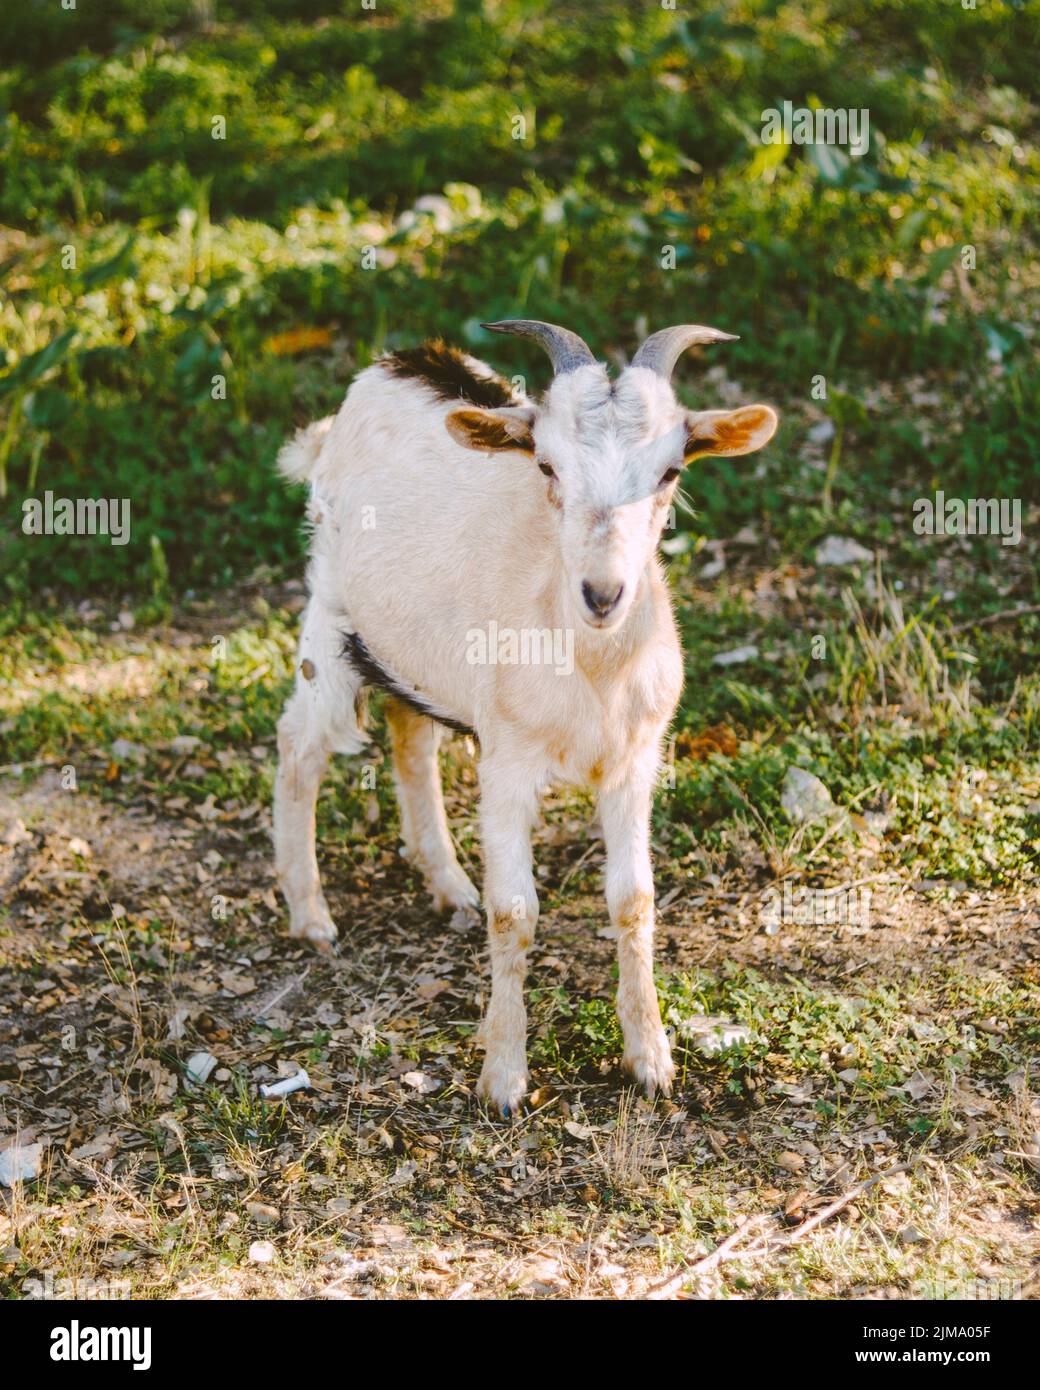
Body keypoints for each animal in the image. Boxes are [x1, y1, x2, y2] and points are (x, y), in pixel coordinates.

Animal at [274, 320, 778, 1115]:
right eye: (547, 466)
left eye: (671, 472)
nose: (603, 593)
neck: (592, 669)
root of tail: (395, 362)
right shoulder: (508, 761)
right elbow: (516, 911)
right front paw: (504, 1078)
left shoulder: (636, 760)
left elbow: (634, 900)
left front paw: (651, 1060)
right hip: (333, 613)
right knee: (301, 744)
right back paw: (312, 915)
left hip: (413, 646)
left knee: (409, 734)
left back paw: (447, 882)